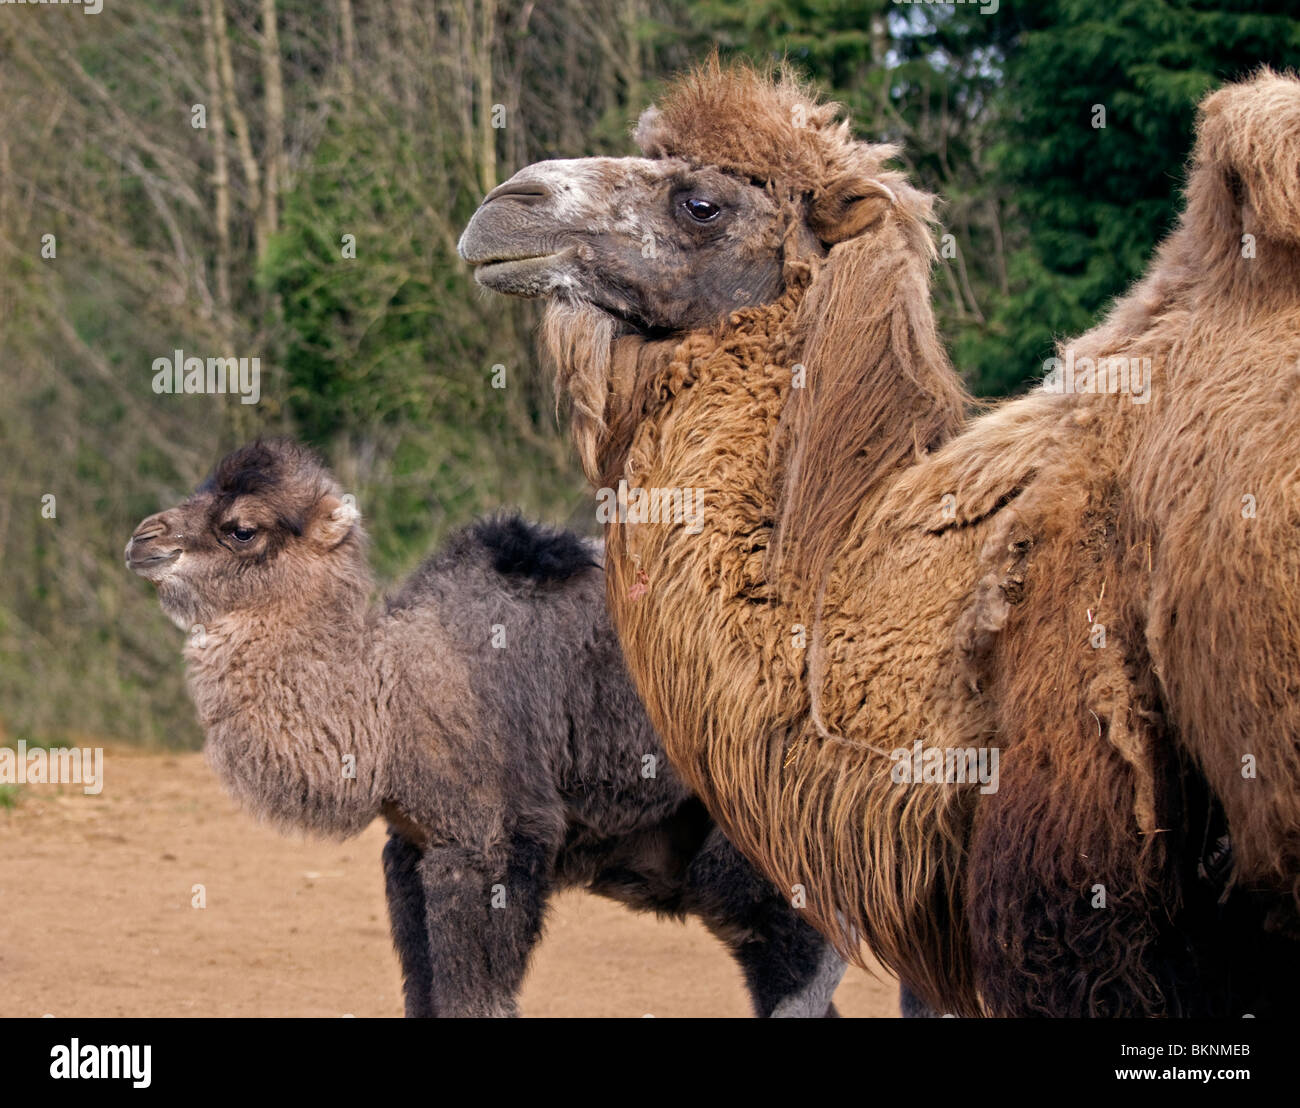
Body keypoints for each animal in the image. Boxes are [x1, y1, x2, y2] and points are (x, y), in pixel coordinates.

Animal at [124, 439, 848, 1017]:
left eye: (241, 529)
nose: (142, 540)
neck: (386, 703)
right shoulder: (411, 847)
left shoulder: (491, 842)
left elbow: (475, 1001)